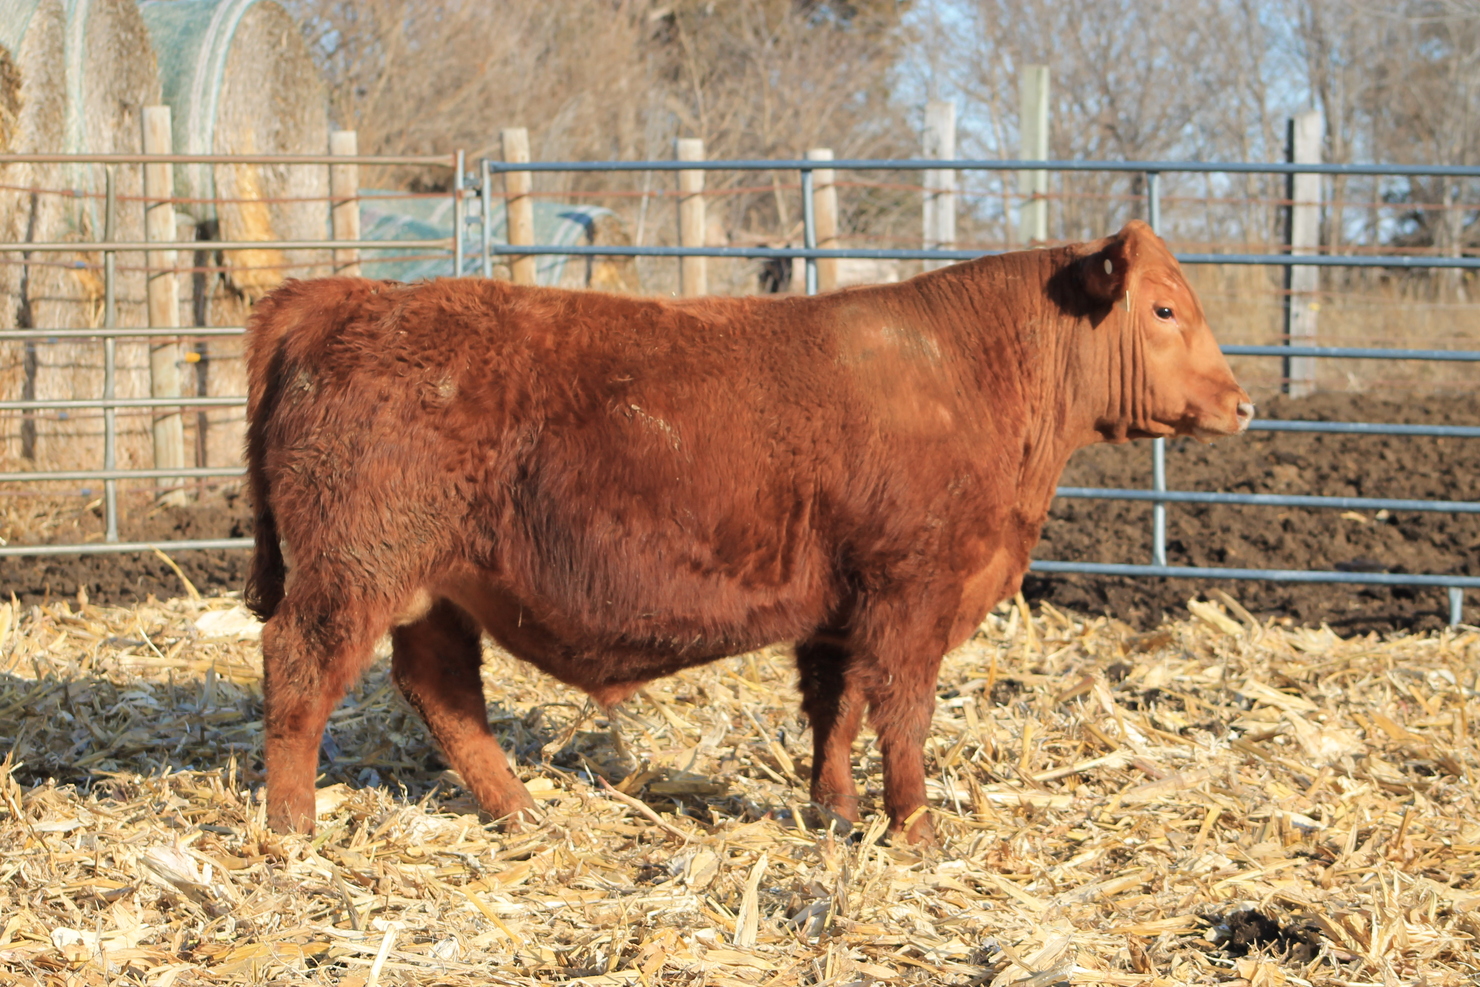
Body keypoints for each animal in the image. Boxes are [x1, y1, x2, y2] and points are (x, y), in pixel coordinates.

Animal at [244, 219, 1251, 843]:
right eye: (1165, 307)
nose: (1242, 403)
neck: (971, 373)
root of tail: (345, 295)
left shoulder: (844, 608)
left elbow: (836, 708)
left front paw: (837, 812)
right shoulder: (912, 594)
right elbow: (904, 717)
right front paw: (916, 829)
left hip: (433, 586)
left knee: (442, 690)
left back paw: (520, 811)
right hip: (354, 570)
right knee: (299, 666)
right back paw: (292, 824)